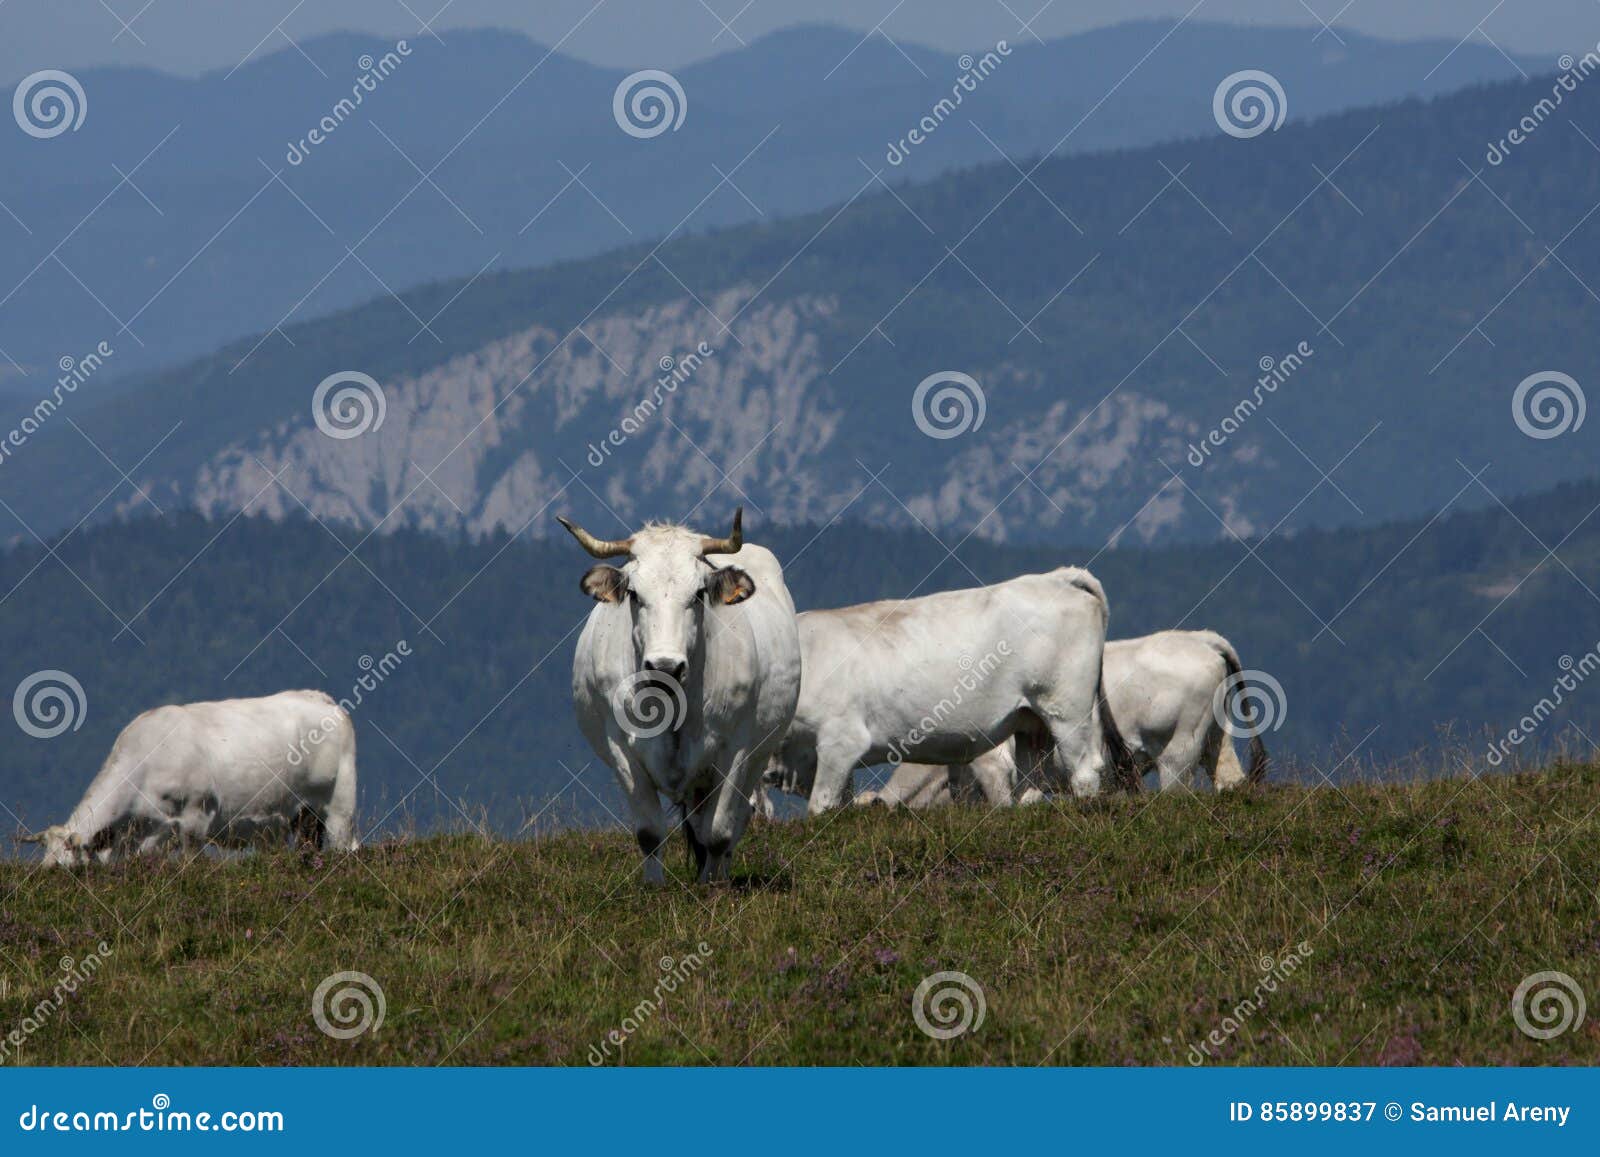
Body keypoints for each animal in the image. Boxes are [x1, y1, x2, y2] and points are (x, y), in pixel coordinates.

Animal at [18, 690, 358, 866]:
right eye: (44, 864)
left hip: (339, 803)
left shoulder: (196, 816)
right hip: (304, 816)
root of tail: (321, 698)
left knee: (346, 846)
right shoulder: (151, 832)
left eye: (65, 867)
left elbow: (190, 861)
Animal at [562, 508, 801, 884]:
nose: (665, 666)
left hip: (759, 754)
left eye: (700, 593)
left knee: (736, 816)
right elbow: (649, 832)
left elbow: (718, 831)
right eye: (633, 594)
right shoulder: (621, 750)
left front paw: (712, 886)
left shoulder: (736, 750)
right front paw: (653, 887)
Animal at [763, 567, 1135, 815]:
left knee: (1084, 768)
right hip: (1030, 719)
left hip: (1066, 706)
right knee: (1033, 777)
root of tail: (1057, 577)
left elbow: (820, 805)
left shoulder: (841, 739)